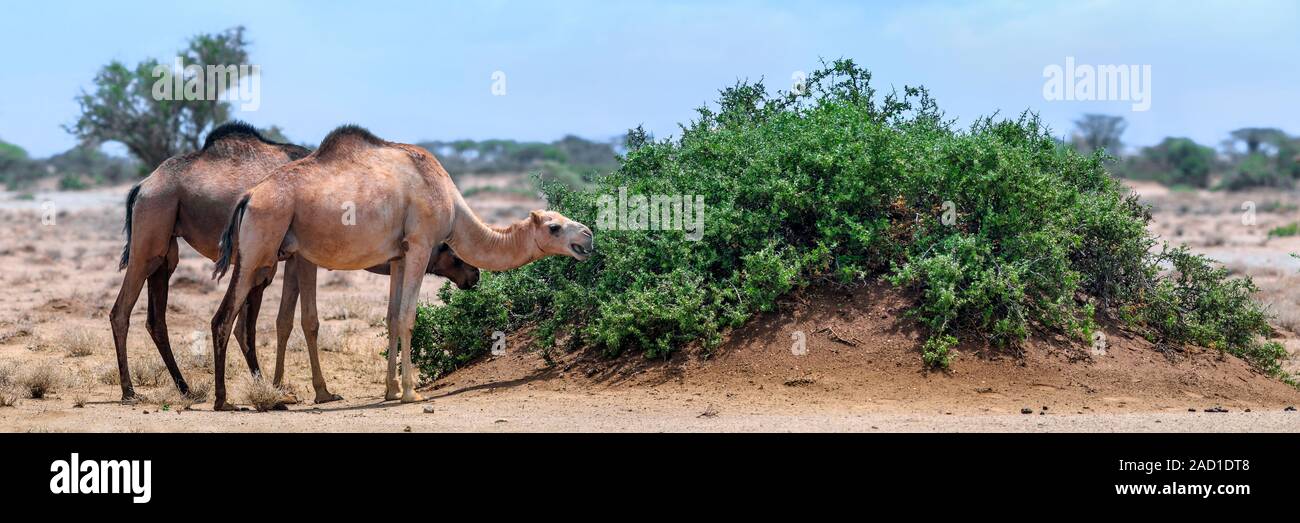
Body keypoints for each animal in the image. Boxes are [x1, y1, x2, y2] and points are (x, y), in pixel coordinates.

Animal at [113, 122, 480, 404]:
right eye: (451, 249)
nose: (473, 274)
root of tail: (141, 186)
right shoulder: (301, 258)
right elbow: (300, 321)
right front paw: (314, 391)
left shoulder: (288, 259)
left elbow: (281, 321)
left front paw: (279, 386)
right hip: (154, 227)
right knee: (122, 311)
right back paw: (130, 391)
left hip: (169, 249)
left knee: (158, 318)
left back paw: (186, 388)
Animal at [210, 125, 593, 410]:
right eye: (554, 227)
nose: (588, 236)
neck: (451, 203)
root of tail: (248, 197)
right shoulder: (421, 244)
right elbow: (408, 316)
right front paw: (411, 393)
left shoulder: (398, 255)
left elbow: (392, 316)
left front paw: (391, 390)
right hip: (259, 244)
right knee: (223, 317)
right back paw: (225, 401)